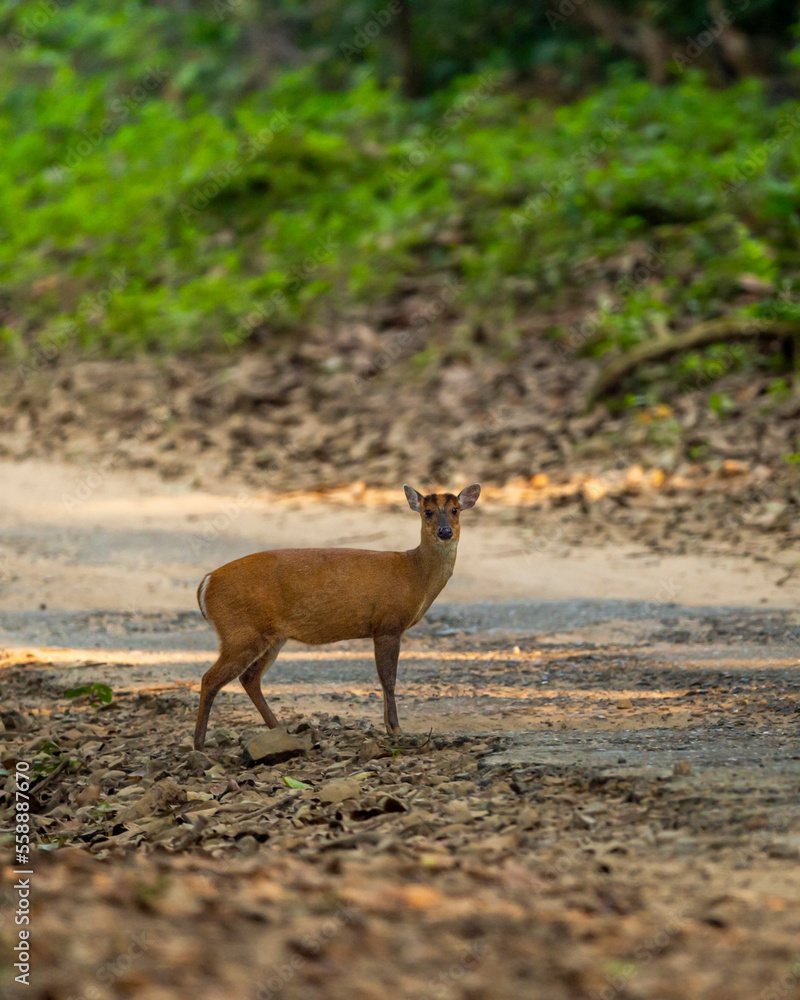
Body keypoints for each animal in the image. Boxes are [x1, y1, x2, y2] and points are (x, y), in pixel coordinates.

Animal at [193, 483, 481, 750]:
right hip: (239, 630)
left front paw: (390, 728)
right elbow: (388, 680)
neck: (416, 575)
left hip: (271, 636)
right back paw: (199, 744)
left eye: (455, 510)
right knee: (210, 678)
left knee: (249, 678)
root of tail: (205, 583)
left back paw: (282, 732)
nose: (445, 531)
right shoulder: (388, 623)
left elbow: (384, 679)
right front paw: (396, 729)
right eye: (428, 512)